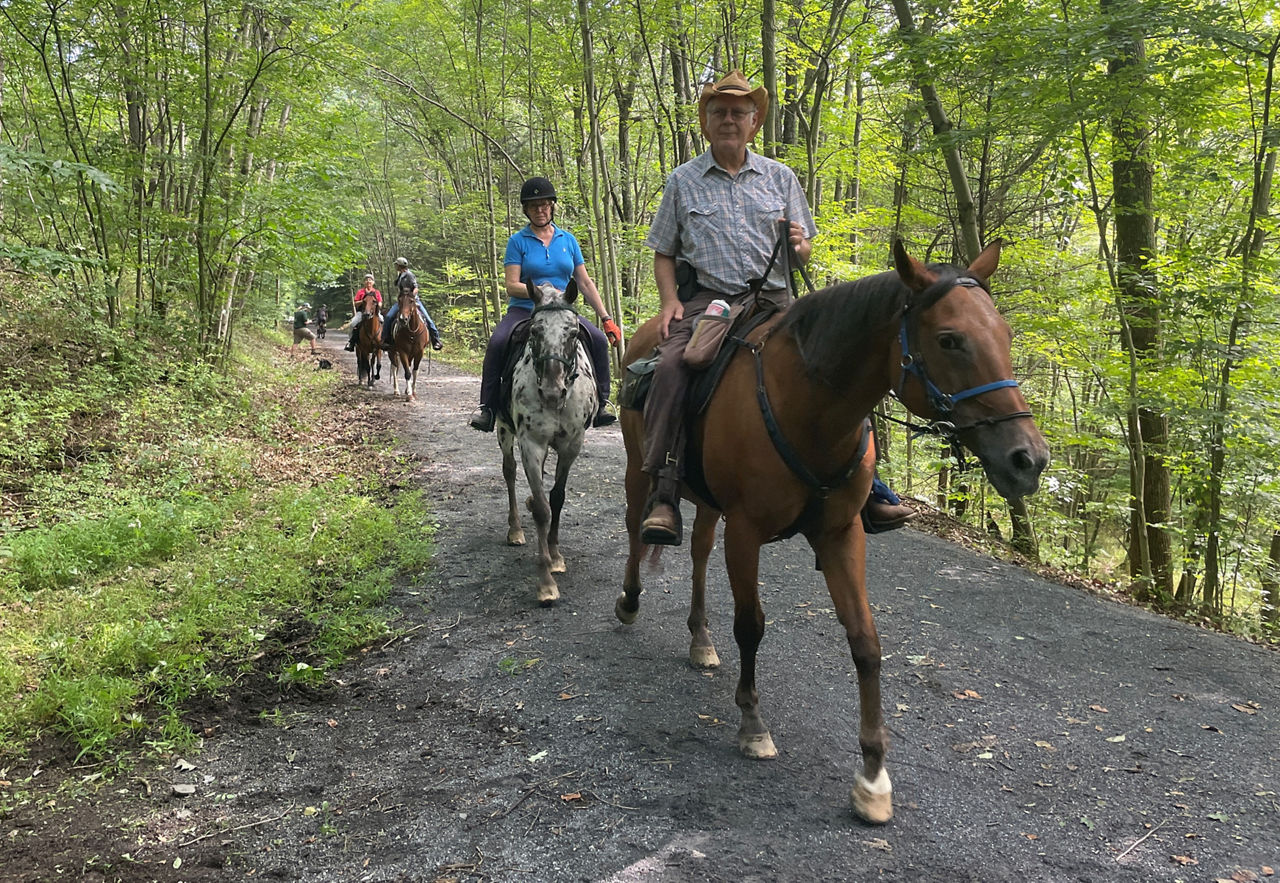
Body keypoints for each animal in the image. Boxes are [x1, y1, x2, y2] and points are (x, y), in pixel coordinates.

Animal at [499, 278, 599, 601]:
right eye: (535, 331)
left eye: (574, 332)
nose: (552, 392)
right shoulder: (531, 445)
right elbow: (543, 510)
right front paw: (545, 583)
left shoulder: (571, 446)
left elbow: (556, 498)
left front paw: (555, 557)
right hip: (504, 432)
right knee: (509, 472)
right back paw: (516, 529)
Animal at [614, 236, 1044, 824]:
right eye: (949, 340)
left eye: (1005, 335)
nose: (1029, 459)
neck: (813, 411)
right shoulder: (746, 531)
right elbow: (751, 626)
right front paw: (753, 725)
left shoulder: (842, 535)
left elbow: (865, 641)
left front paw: (873, 776)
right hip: (641, 469)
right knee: (637, 530)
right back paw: (630, 600)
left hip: (707, 502)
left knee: (699, 550)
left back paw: (700, 639)